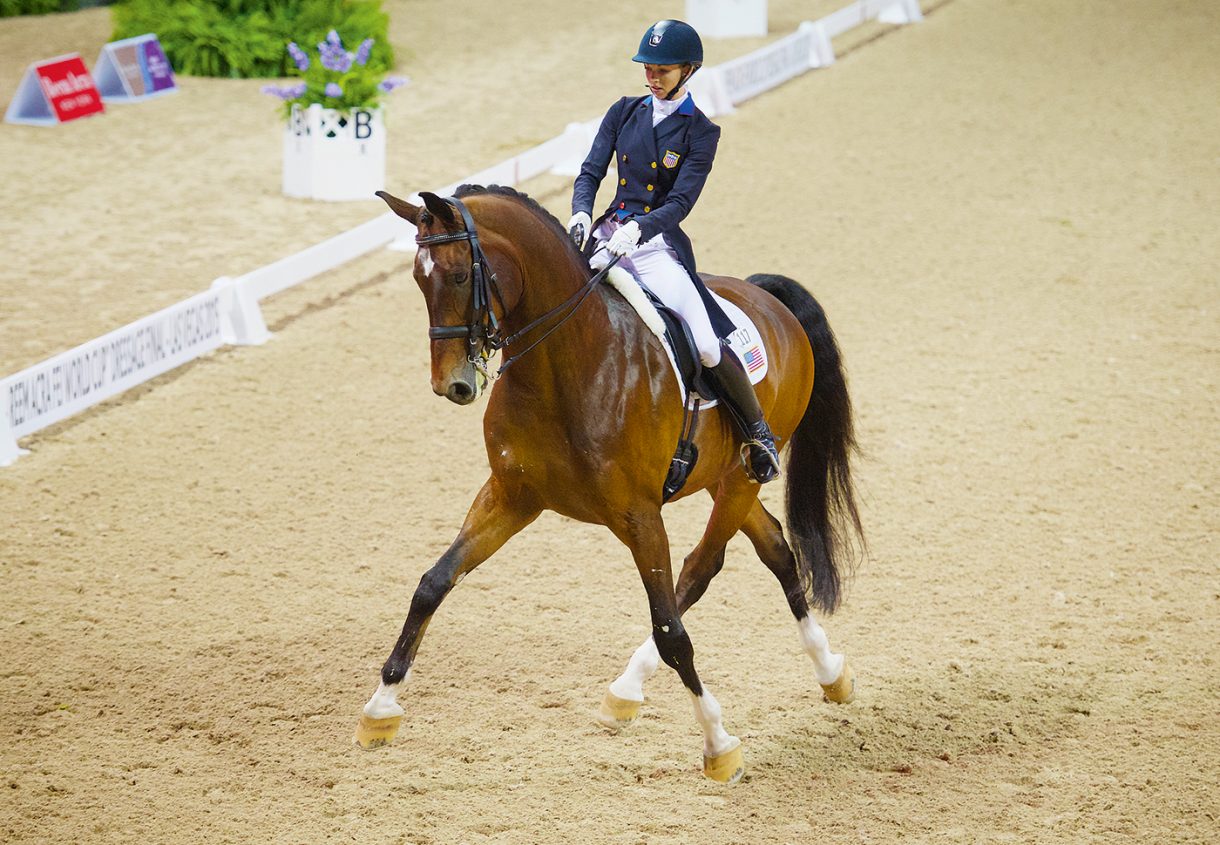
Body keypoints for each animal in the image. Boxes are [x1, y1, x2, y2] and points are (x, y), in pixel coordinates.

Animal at [356, 184, 864, 783]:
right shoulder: (511, 497)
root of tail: (766, 296)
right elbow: (433, 583)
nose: (451, 385)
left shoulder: (638, 515)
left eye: (459, 276)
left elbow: (671, 631)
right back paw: (824, 672)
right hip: (721, 478)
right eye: (418, 279)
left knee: (703, 567)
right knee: (775, 549)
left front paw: (719, 744)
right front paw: (380, 709)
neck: (564, 363)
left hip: (743, 473)